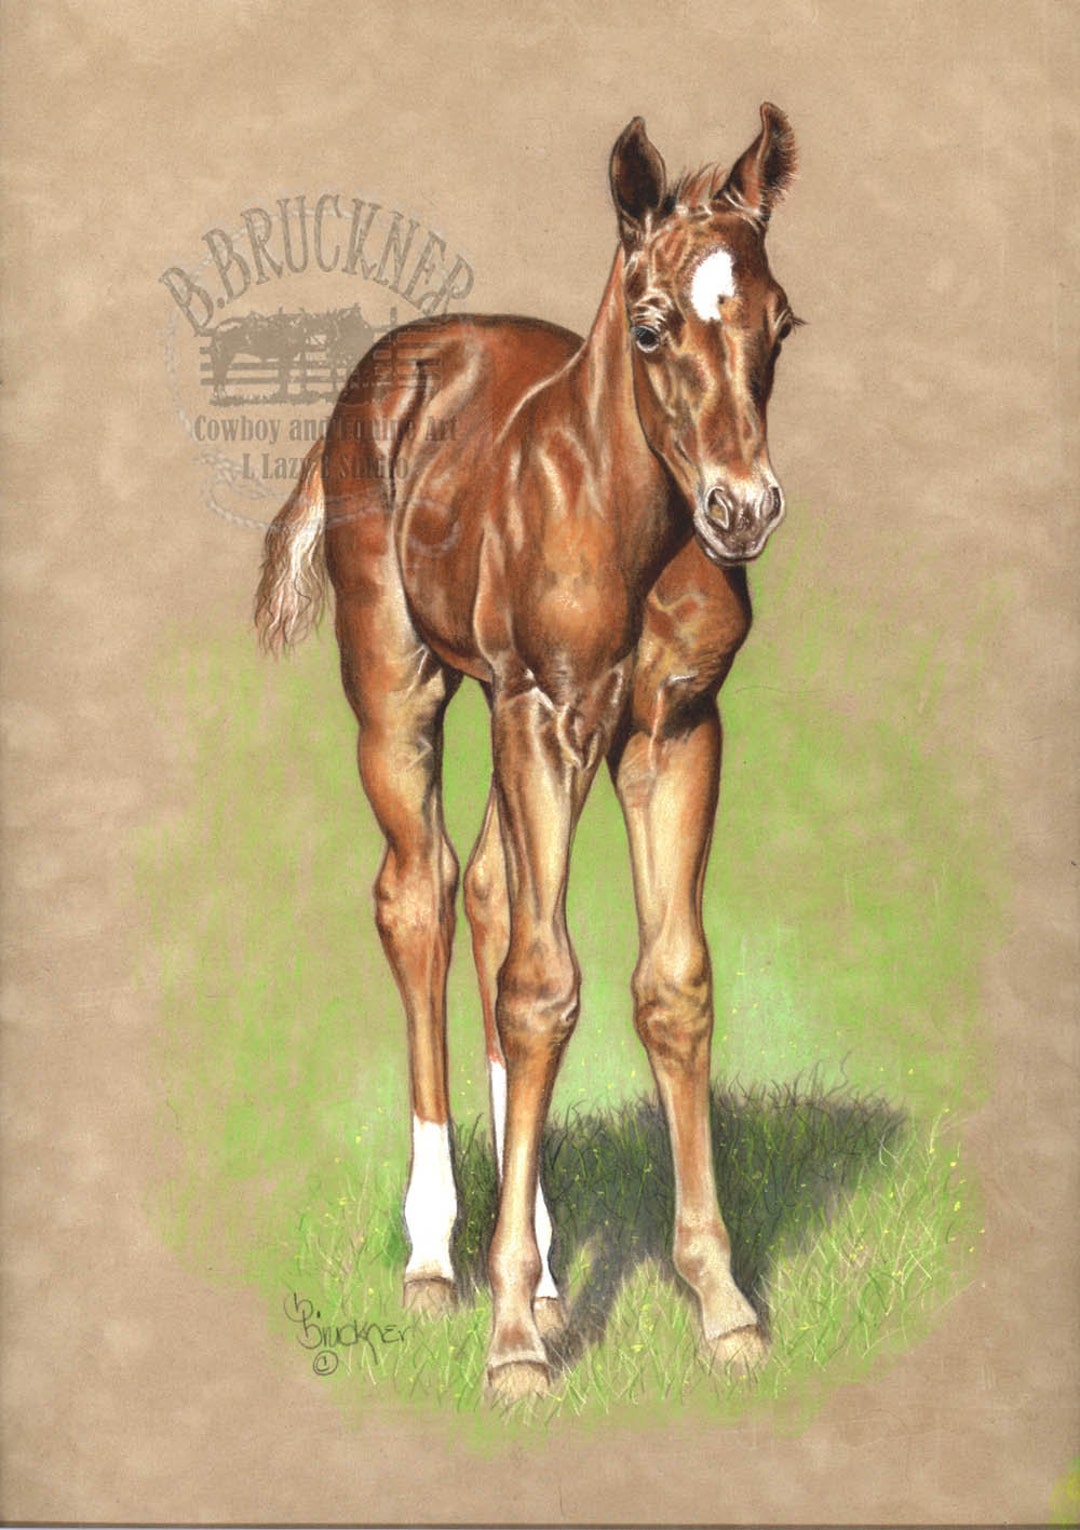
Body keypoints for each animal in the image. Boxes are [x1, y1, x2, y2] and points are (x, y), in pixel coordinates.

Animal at [254, 105, 800, 1403]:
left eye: (780, 323)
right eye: (650, 325)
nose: (744, 510)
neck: (631, 515)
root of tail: (402, 360)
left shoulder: (674, 727)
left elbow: (671, 984)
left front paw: (722, 1305)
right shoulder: (545, 714)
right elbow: (541, 989)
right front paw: (508, 1344)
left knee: (498, 896)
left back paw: (547, 1267)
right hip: (403, 687)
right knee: (422, 896)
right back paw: (435, 1257)